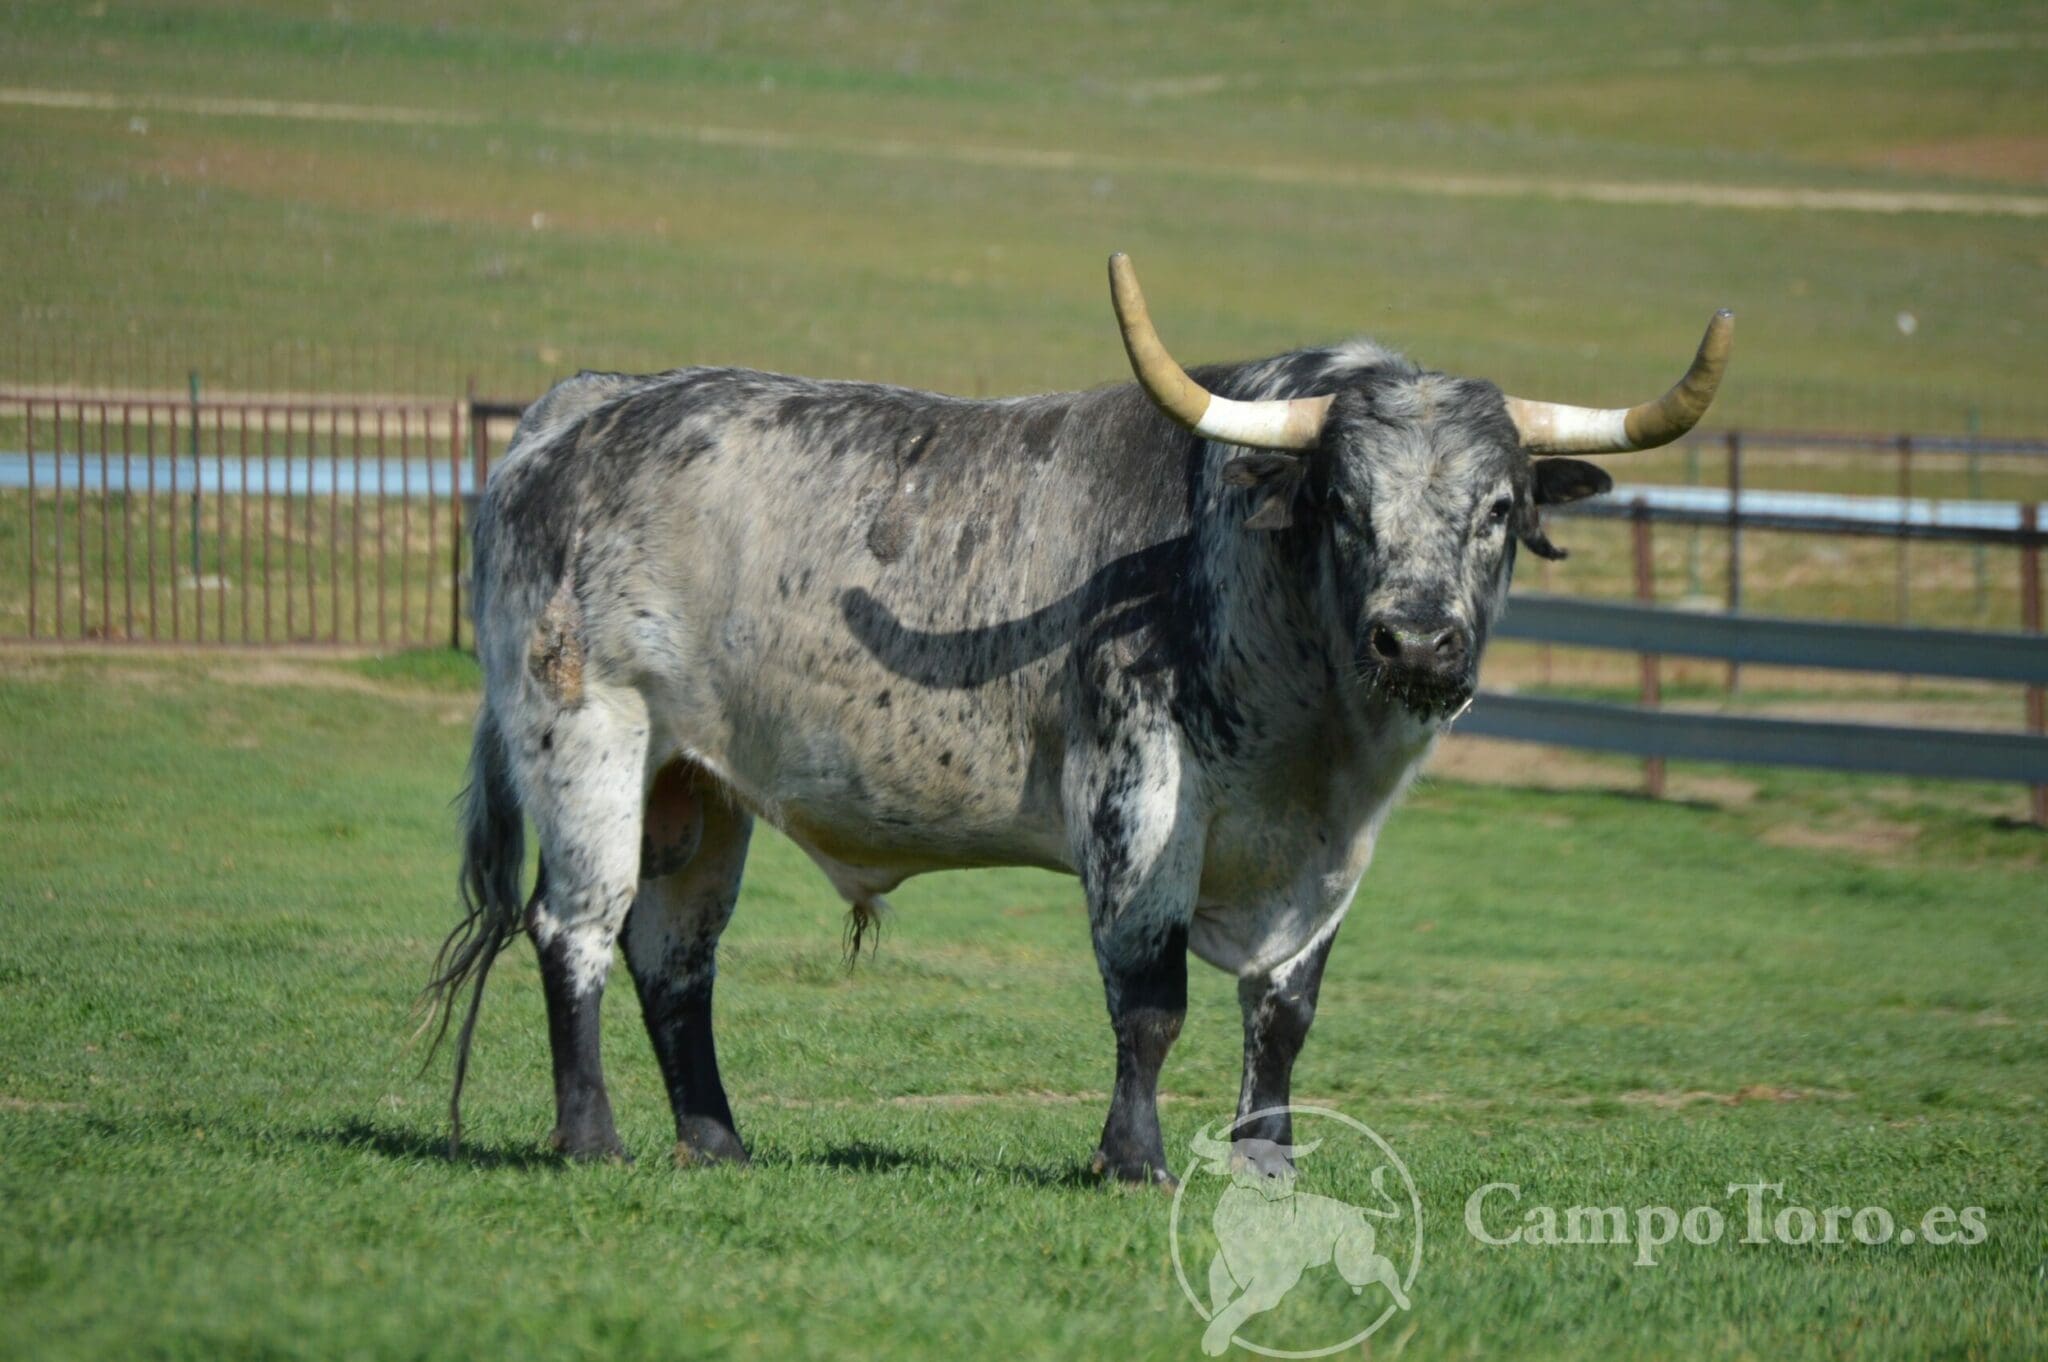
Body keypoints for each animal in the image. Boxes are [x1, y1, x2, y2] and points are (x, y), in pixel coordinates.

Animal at [424, 253, 1731, 1182]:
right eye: (1341, 505)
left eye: (1498, 508)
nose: (1415, 641)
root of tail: (583, 406)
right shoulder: (1135, 798)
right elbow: (1148, 1003)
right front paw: (1131, 1161)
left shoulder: (1330, 860)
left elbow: (1285, 1010)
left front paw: (1266, 1161)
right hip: (586, 740)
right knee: (575, 928)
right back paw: (592, 1141)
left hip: (697, 783)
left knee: (673, 954)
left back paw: (717, 1143)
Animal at [1187, 1126, 1408, 1355]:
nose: (1285, 1175)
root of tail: (1359, 1212)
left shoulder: (1269, 1286)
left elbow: (1237, 1308)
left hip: (1353, 1263)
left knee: (1384, 1267)